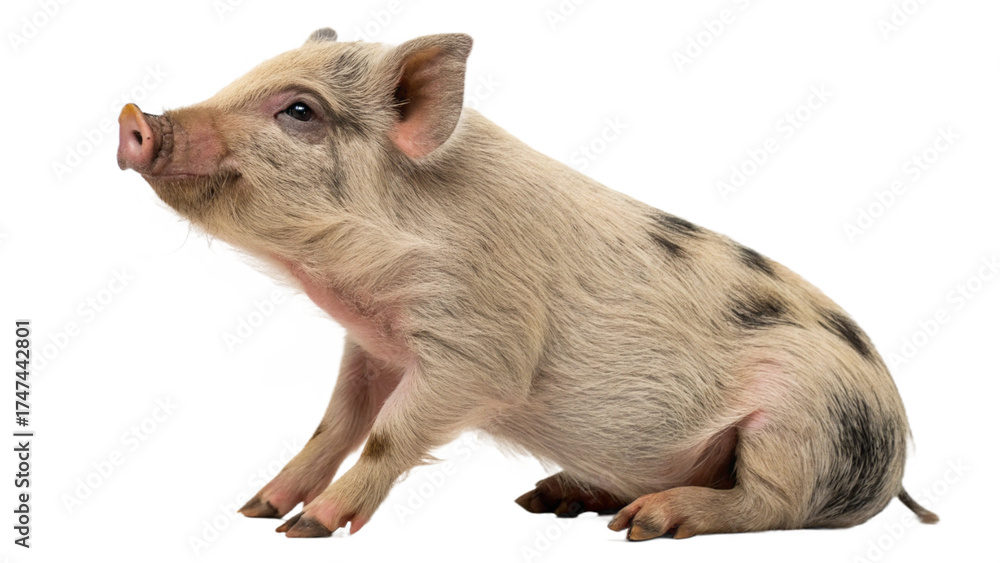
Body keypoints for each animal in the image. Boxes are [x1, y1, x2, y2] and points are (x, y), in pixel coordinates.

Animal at [116, 28, 939, 540]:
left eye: (298, 110)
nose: (135, 116)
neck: (359, 283)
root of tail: (897, 450)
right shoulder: (372, 344)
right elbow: (336, 422)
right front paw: (256, 508)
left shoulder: (479, 348)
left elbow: (389, 434)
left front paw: (306, 528)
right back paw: (551, 498)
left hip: (804, 422)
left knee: (769, 502)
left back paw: (647, 523)